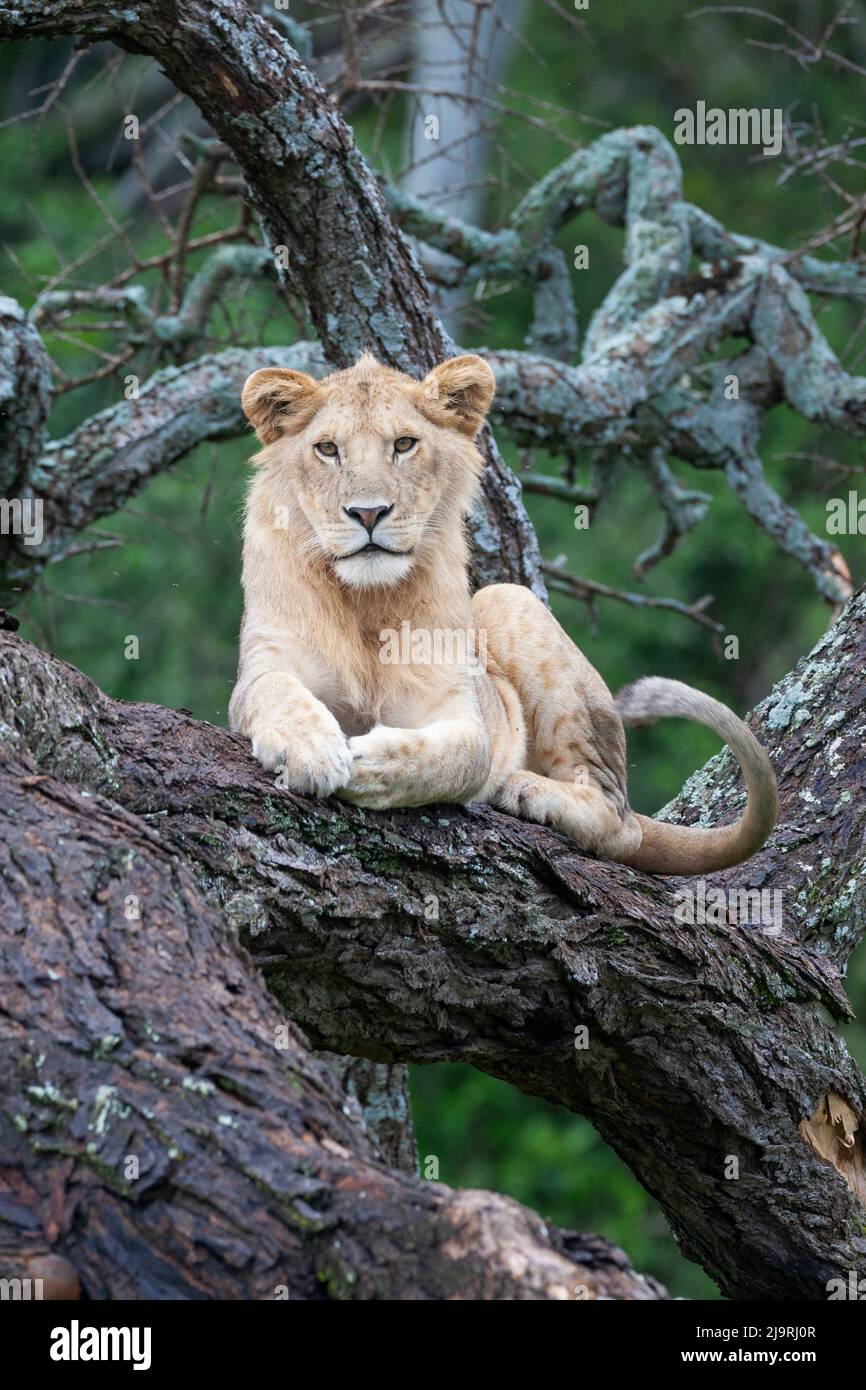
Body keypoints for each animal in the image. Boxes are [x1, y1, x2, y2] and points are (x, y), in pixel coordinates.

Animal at [229, 352, 777, 874]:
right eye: (327, 449)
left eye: (404, 444)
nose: (368, 513)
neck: (366, 600)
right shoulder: (268, 659)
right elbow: (273, 691)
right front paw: (312, 749)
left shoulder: (458, 703)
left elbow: (462, 756)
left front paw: (370, 762)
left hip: (507, 598)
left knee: (620, 821)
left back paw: (523, 790)